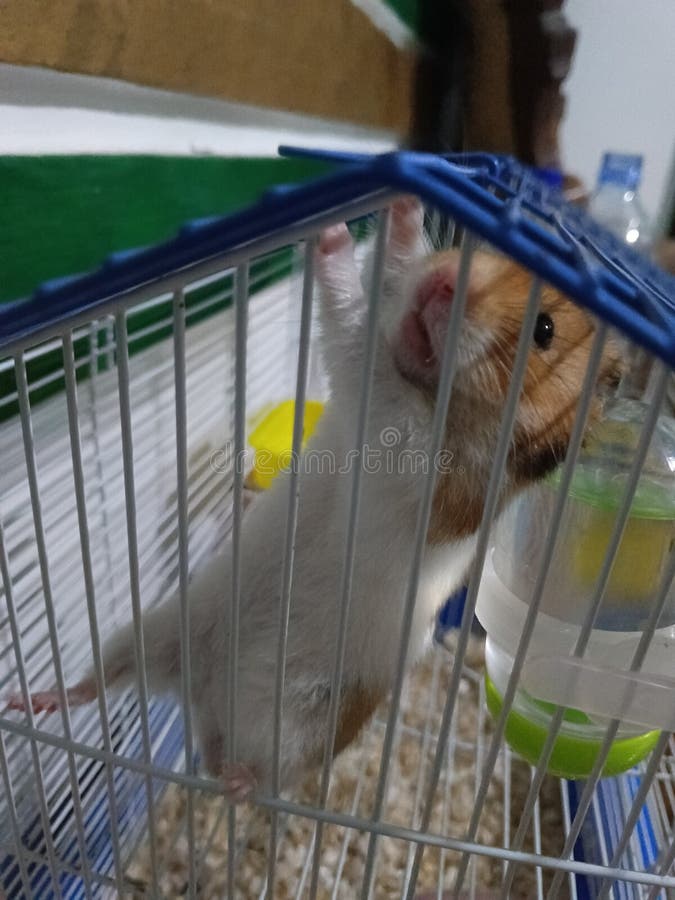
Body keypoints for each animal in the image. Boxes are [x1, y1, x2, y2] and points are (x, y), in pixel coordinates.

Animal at [8, 197, 621, 802]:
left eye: (544, 329)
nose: (445, 281)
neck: (433, 396)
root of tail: (209, 702)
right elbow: (385, 285)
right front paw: (399, 213)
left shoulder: (404, 432)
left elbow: (356, 330)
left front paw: (341, 234)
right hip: (159, 629)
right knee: (102, 683)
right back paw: (33, 701)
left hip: (298, 722)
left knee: (266, 776)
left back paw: (234, 780)